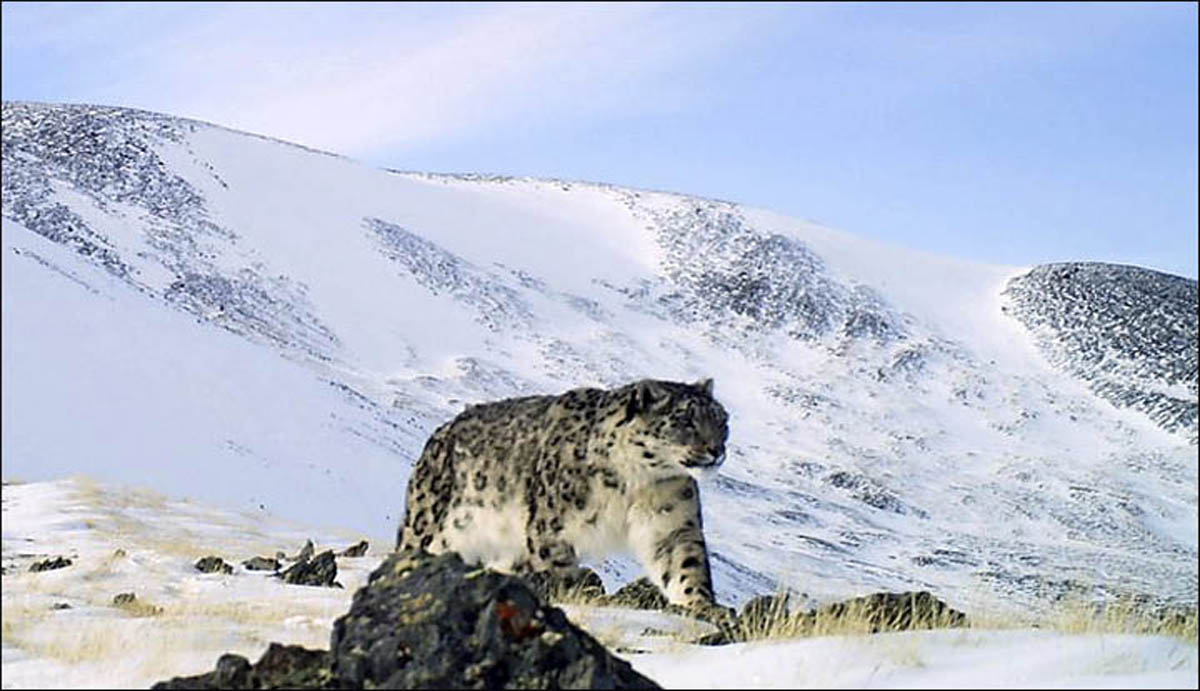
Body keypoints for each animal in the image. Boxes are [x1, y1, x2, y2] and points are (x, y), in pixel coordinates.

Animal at [396, 377, 729, 609]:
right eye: (685, 420)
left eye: (723, 420)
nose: (717, 450)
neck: (634, 482)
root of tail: (438, 434)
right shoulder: (552, 528)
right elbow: (559, 571)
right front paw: (576, 595)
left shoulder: (671, 522)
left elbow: (685, 564)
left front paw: (700, 606)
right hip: (429, 525)